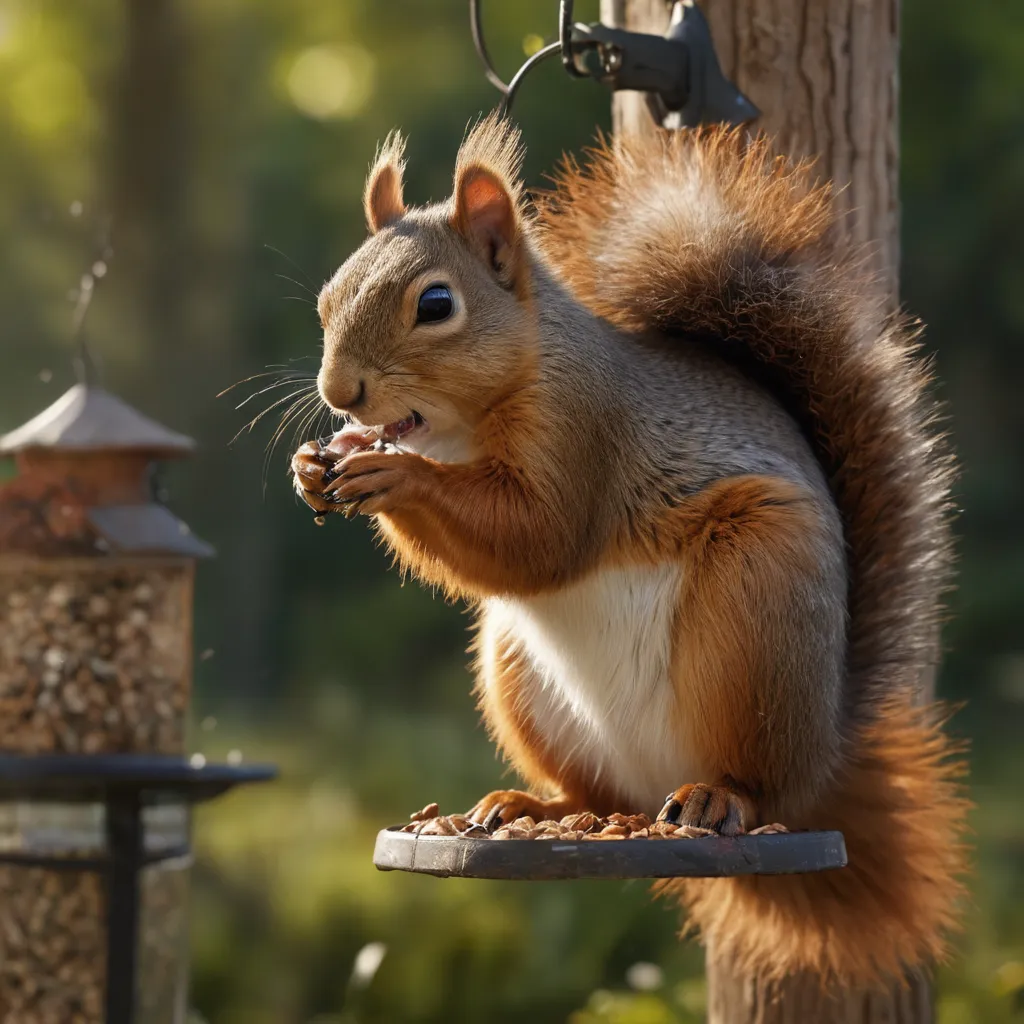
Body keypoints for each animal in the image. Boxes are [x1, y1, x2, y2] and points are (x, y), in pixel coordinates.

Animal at [291, 114, 969, 988]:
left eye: (435, 304)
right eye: (327, 298)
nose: (339, 394)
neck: (465, 425)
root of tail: (823, 754)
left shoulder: (586, 432)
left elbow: (539, 536)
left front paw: (393, 473)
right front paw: (312, 466)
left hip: (758, 614)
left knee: (756, 784)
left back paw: (720, 799)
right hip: (521, 678)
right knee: (601, 797)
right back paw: (531, 808)